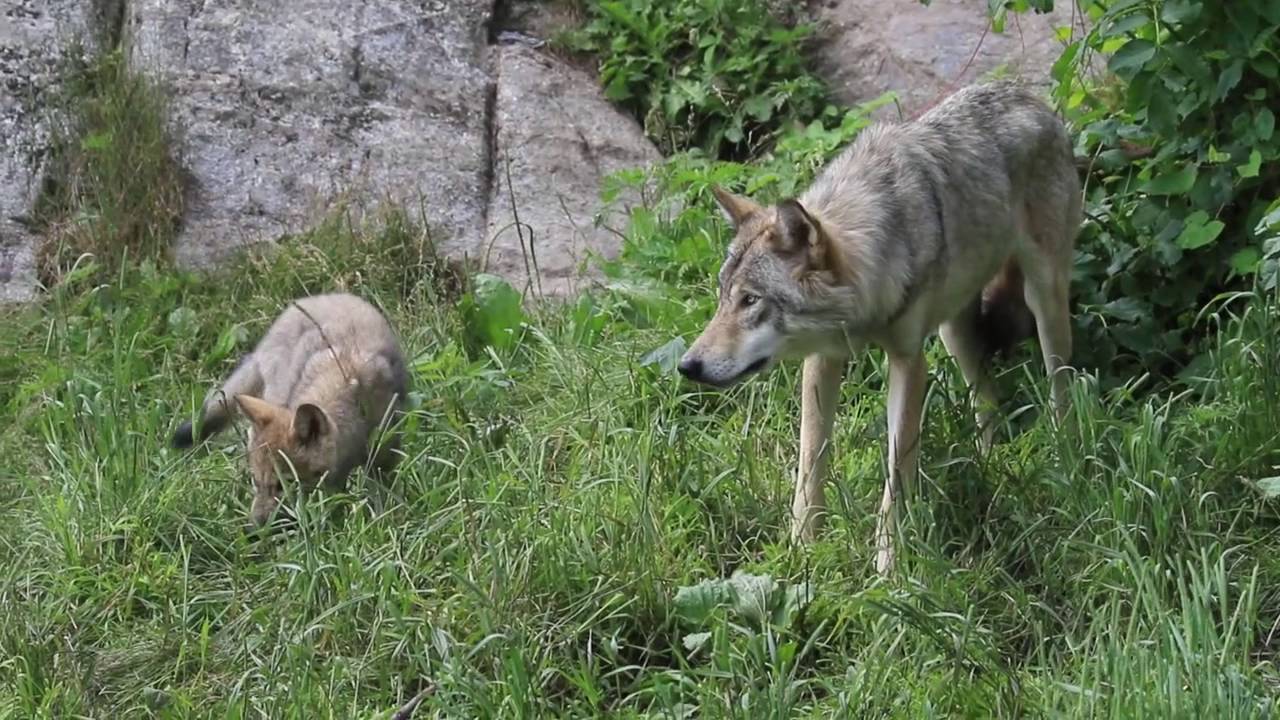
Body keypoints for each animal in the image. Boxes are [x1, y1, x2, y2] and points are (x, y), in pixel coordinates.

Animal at [677, 81, 1081, 574]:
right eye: (721, 298)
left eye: (750, 300)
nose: (686, 366)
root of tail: (1028, 95)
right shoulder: (823, 360)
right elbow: (809, 466)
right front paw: (800, 552)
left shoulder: (909, 362)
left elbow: (897, 472)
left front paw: (888, 565)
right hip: (953, 335)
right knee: (989, 401)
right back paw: (992, 465)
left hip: (1043, 301)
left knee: (1060, 385)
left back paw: (1064, 455)